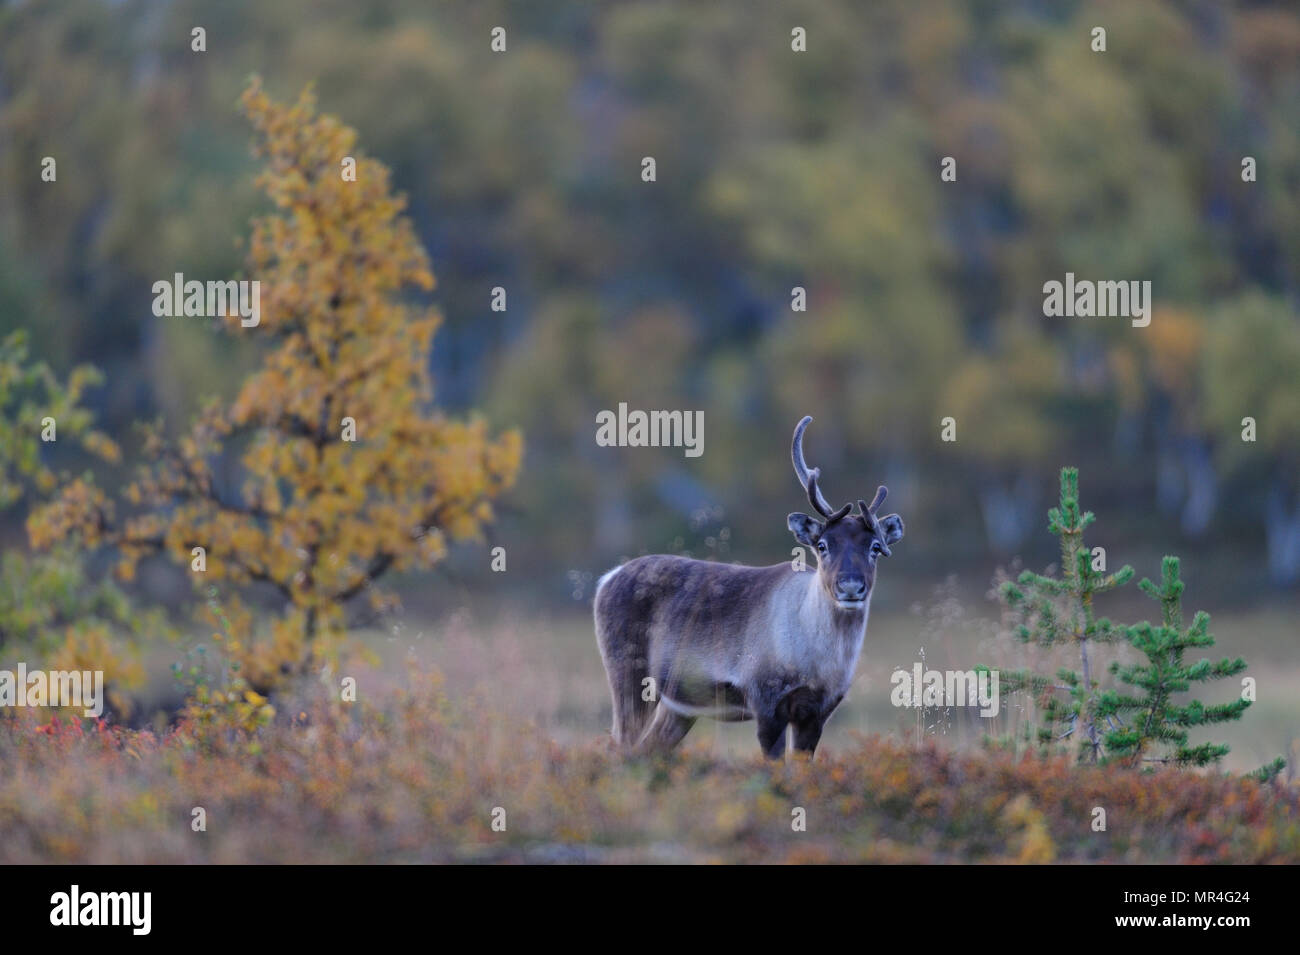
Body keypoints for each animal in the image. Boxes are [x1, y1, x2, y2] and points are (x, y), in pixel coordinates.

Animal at [594, 416, 904, 758]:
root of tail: (607, 578)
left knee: (649, 748)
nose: (850, 585)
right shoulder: (766, 702)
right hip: (629, 676)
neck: (818, 661)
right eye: (822, 545)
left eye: (875, 547)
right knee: (619, 746)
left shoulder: (818, 712)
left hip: (678, 707)